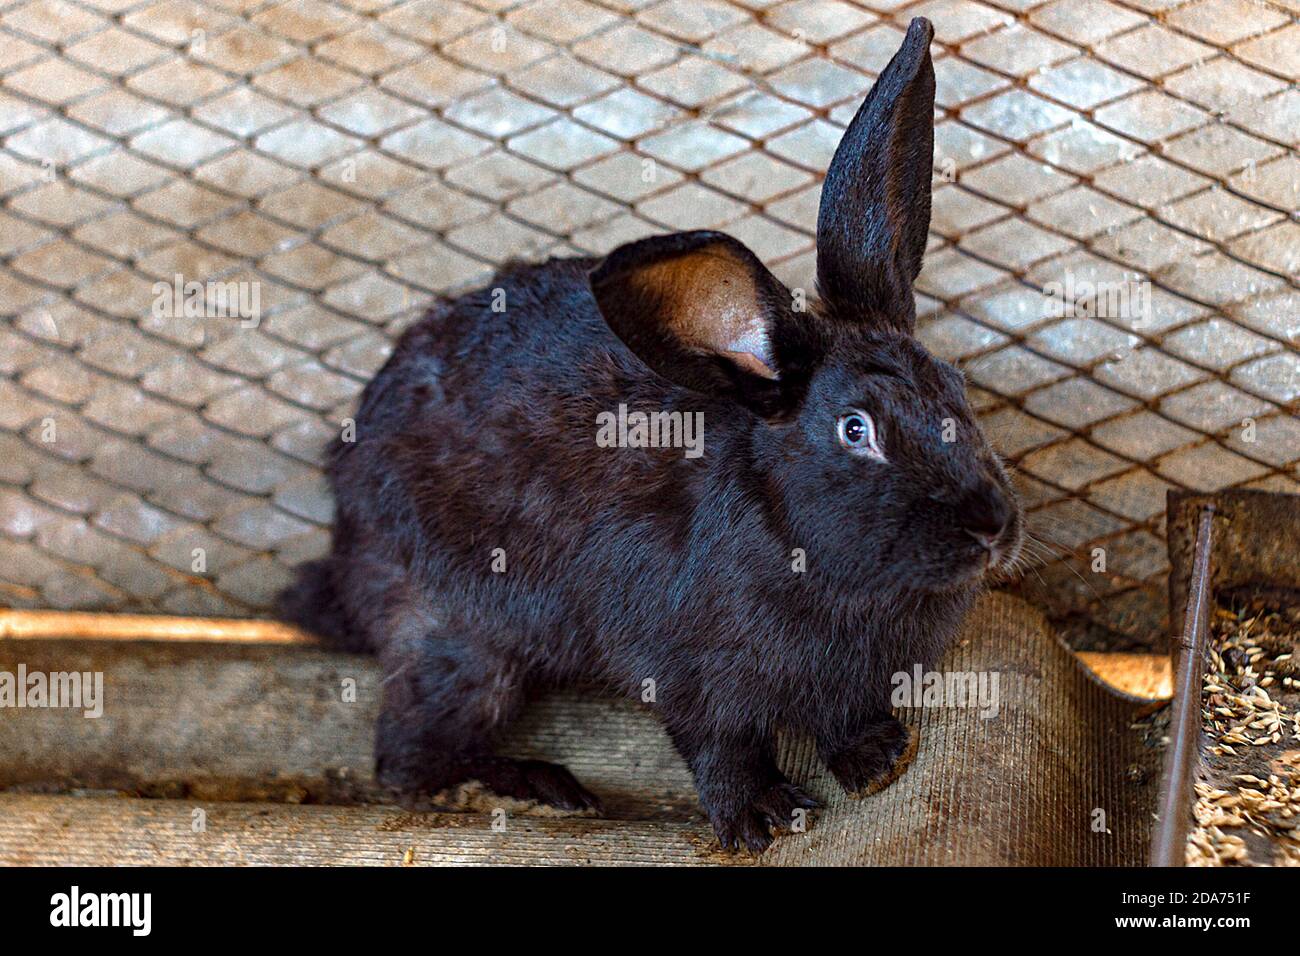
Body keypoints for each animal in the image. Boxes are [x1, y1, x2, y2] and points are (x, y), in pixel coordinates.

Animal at [280, 16, 1024, 852]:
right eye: (855, 428)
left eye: (955, 389)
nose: (992, 527)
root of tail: (344, 526)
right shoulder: (686, 669)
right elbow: (718, 745)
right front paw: (764, 819)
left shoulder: (846, 682)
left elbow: (842, 719)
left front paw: (880, 761)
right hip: (459, 635)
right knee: (408, 756)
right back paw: (530, 789)